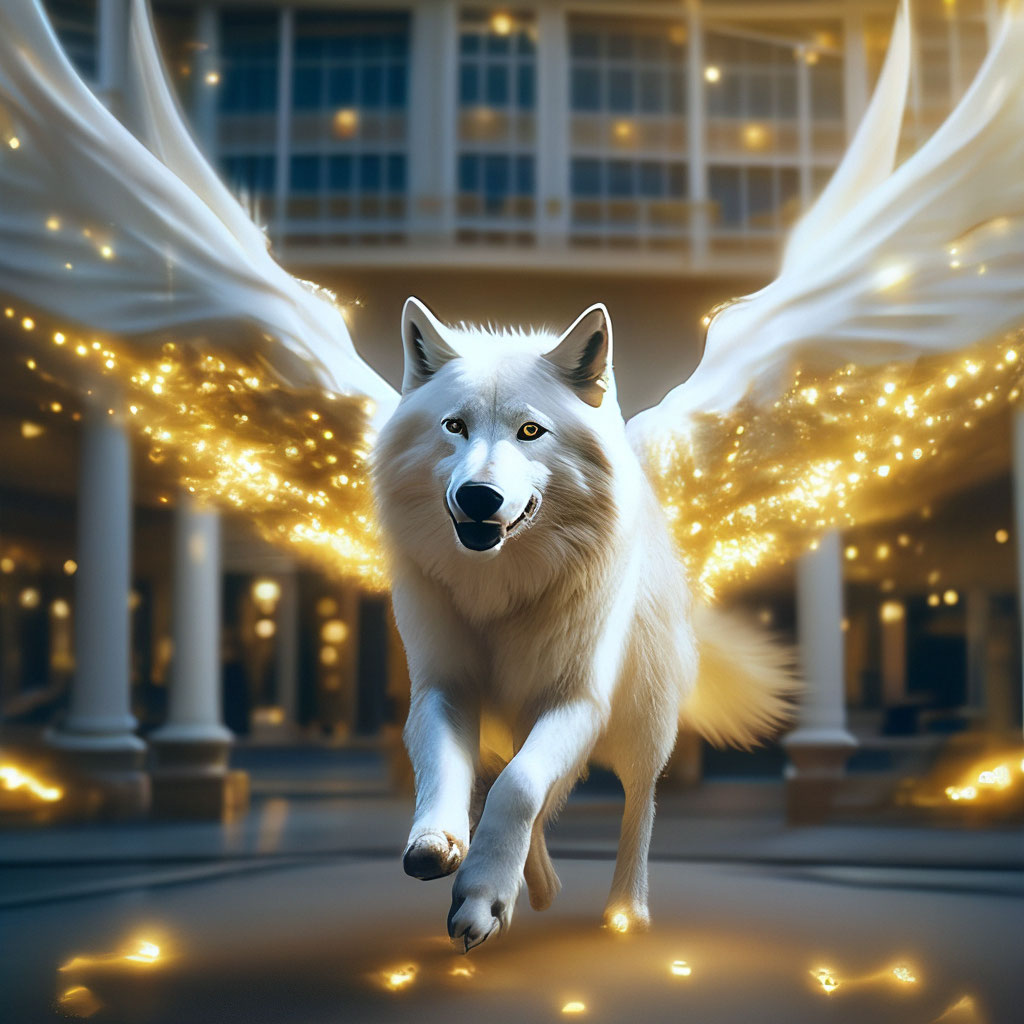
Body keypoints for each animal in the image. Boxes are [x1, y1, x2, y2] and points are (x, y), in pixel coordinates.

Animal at [372, 297, 795, 952]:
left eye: (530, 431)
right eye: (454, 426)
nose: (477, 497)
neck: (503, 589)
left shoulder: (578, 698)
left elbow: (520, 786)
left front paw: (482, 896)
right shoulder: (444, 686)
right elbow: (457, 770)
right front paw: (441, 846)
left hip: (644, 721)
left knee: (636, 806)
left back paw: (625, 911)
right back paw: (540, 888)